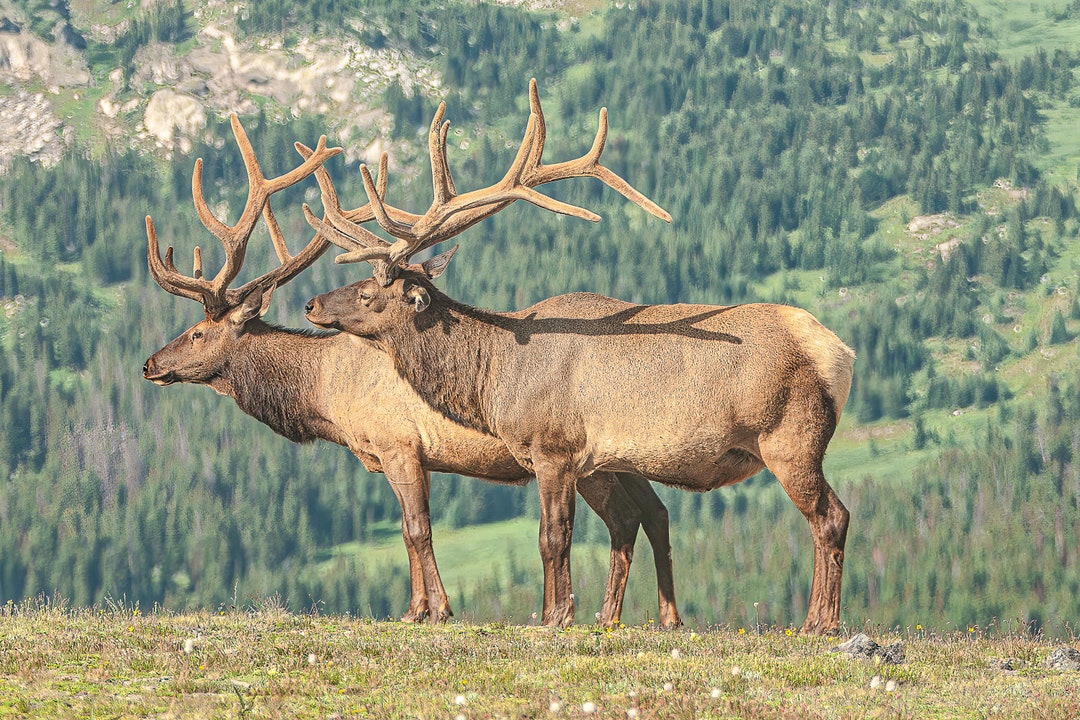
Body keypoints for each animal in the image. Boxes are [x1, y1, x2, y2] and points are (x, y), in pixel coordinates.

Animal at [142, 113, 682, 628]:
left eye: (197, 333)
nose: (149, 364)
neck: (327, 397)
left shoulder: (399, 444)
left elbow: (417, 529)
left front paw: (435, 608)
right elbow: (406, 534)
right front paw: (416, 607)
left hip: (586, 459)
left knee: (625, 518)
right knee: (654, 511)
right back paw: (648, 617)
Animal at [303, 79, 856, 633]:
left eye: (368, 294)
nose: (312, 304)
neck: (494, 377)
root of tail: (839, 352)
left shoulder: (555, 448)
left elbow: (552, 538)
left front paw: (555, 615)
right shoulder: (580, 461)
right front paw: (565, 613)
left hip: (790, 437)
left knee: (832, 515)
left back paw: (819, 622)